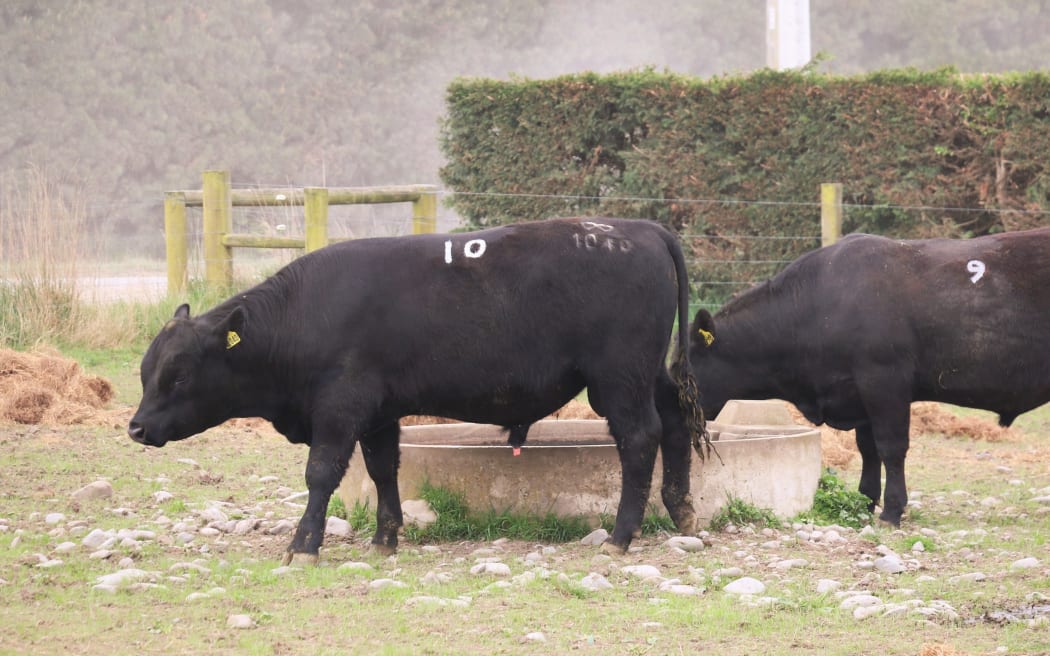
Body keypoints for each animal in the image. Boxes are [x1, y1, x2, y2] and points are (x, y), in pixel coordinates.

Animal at [128, 217, 710, 563]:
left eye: (178, 374)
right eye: (145, 370)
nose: (135, 427)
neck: (306, 315)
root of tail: (634, 226)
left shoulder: (339, 409)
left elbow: (321, 474)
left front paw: (303, 545)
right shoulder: (379, 414)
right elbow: (384, 470)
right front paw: (385, 538)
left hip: (618, 379)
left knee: (639, 439)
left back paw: (621, 535)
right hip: (647, 375)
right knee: (675, 424)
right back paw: (680, 509)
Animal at [688, 227, 1050, 527]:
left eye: (684, 368)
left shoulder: (884, 379)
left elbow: (891, 446)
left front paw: (891, 511)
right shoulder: (857, 392)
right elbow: (868, 449)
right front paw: (864, 501)